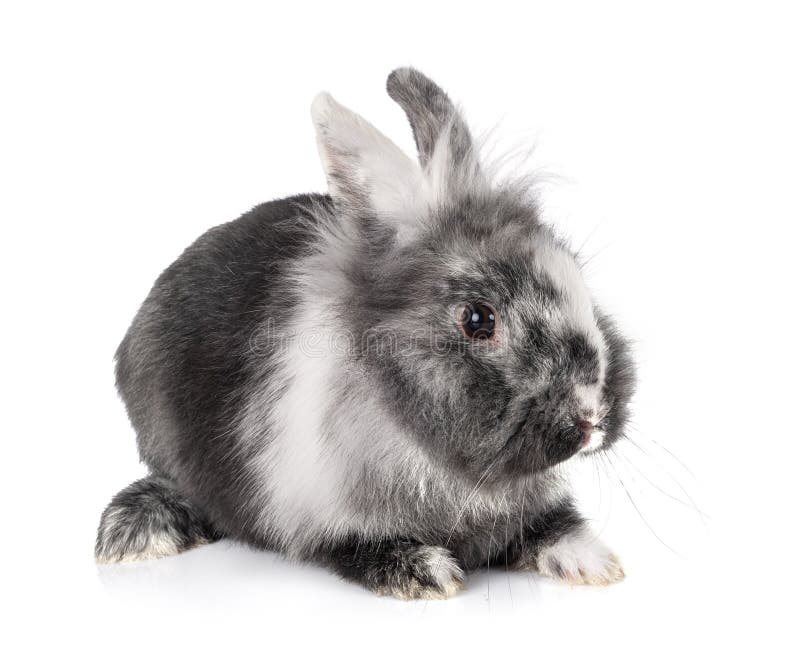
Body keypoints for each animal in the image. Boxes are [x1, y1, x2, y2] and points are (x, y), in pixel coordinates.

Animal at [95, 67, 636, 599]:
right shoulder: (328, 519)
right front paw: (427, 573)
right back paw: (130, 532)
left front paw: (596, 564)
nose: (592, 418)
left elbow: (552, 527)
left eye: (578, 278)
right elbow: (359, 548)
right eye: (478, 319)